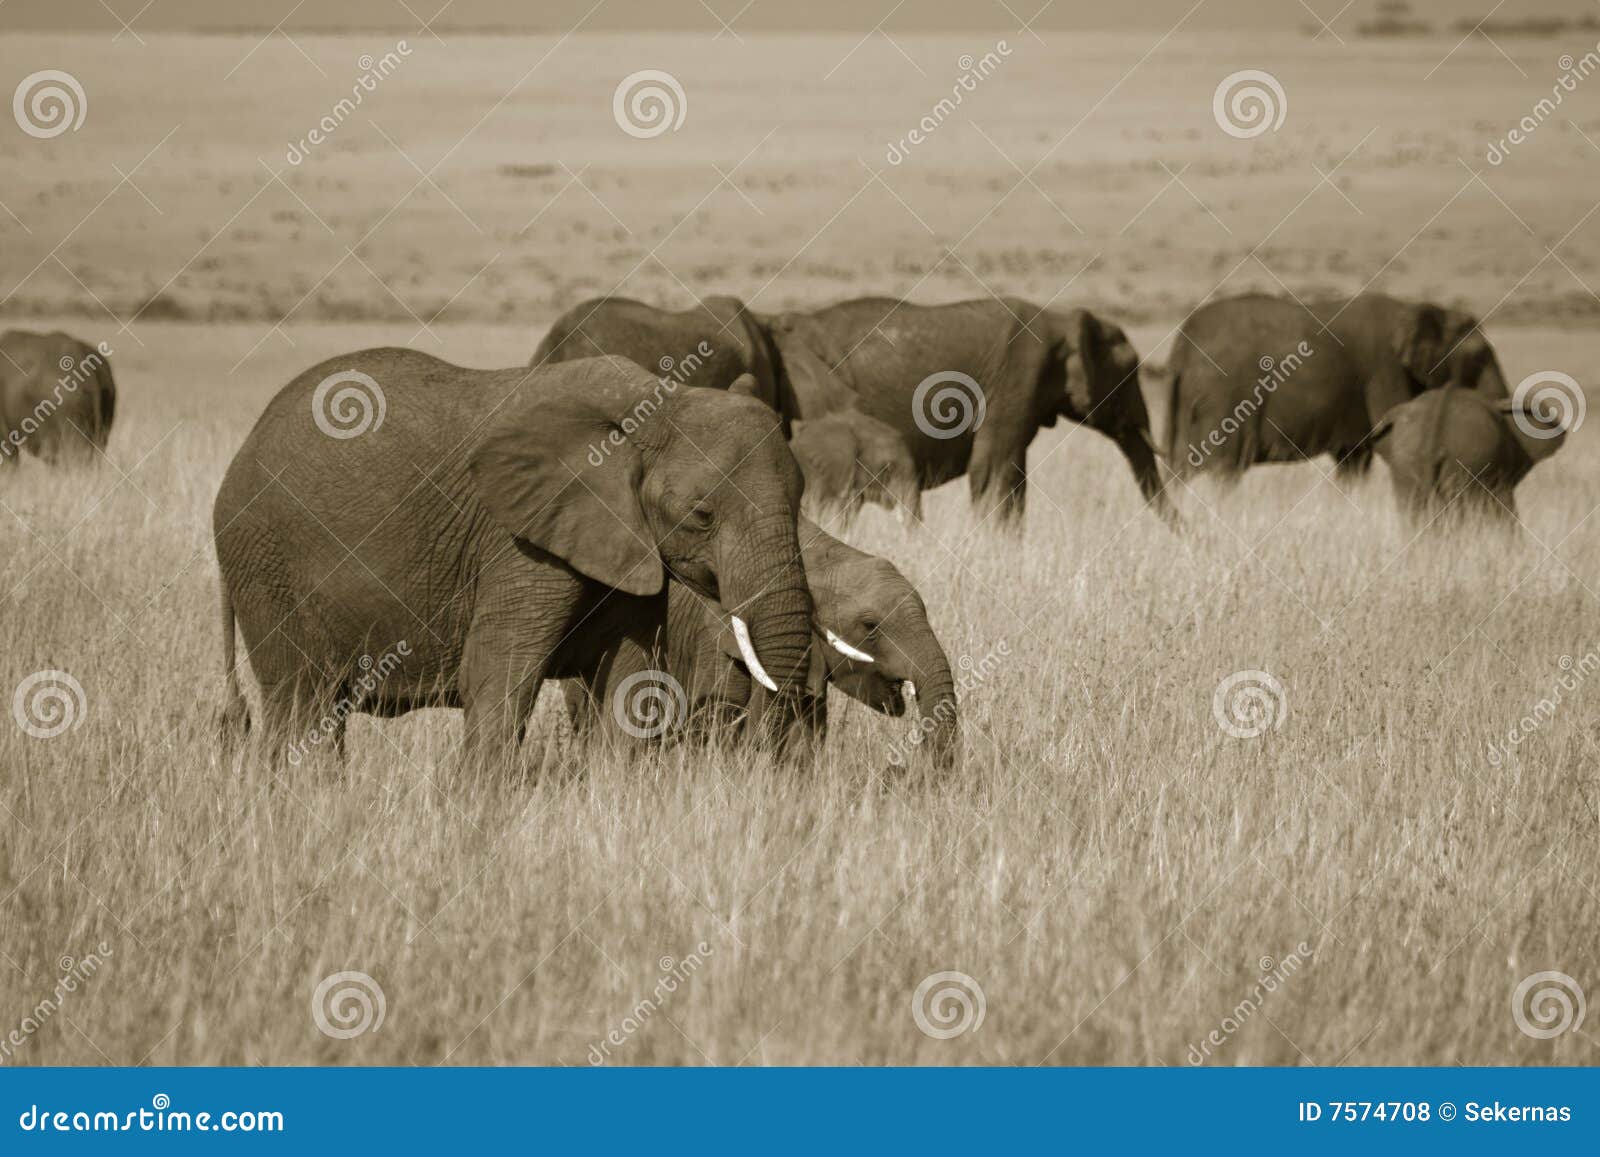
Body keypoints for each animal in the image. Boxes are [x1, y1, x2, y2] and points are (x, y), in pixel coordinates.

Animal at [213, 350, 815, 769]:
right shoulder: (520, 540)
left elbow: (630, 677)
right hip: (267, 564)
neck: (654, 403)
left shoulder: (625, 542)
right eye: (701, 515)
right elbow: (499, 668)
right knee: (302, 703)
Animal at [1162, 292, 1508, 483]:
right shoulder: (1384, 370)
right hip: (1225, 397)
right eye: (1480, 357)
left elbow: (1356, 456)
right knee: (1225, 469)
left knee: (1182, 466)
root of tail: (1181, 346)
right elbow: (1387, 438)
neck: (1417, 309)